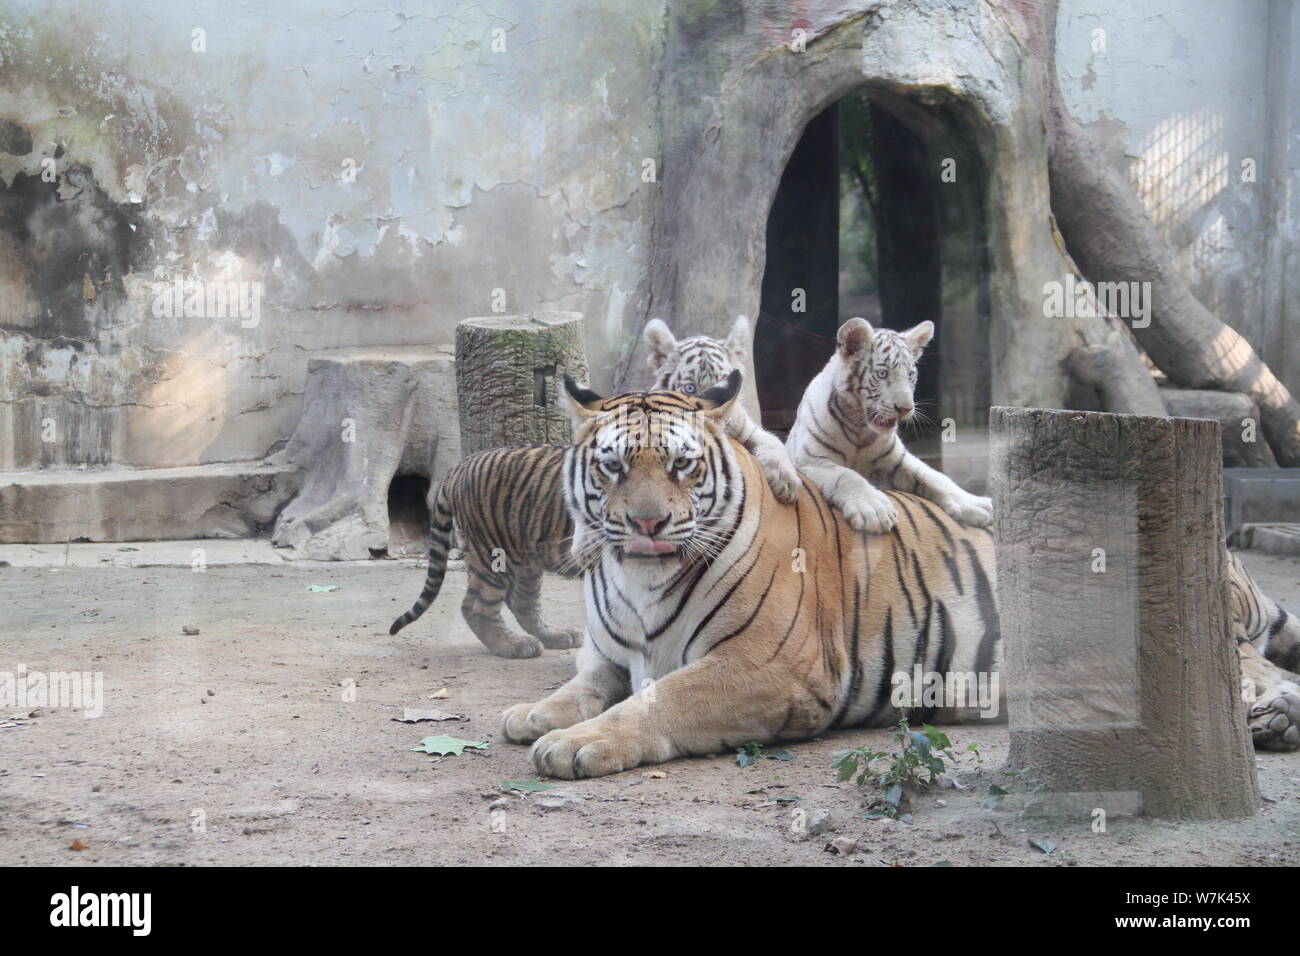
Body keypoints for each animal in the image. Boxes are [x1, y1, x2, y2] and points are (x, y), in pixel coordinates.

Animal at [388, 321, 800, 659]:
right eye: (688, 385)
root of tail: (460, 466)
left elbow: (770, 444)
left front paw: (785, 480)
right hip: (492, 550)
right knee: (477, 606)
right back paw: (515, 646)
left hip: (526, 556)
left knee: (522, 600)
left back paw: (554, 636)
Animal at [499, 371, 1300, 778]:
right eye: (613, 466)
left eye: (683, 466)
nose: (647, 525)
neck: (639, 582)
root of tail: (1229, 558)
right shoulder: (608, 655)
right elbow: (581, 686)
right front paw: (532, 714)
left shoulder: (768, 667)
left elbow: (660, 700)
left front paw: (575, 744)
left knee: (1249, 666)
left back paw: (1273, 718)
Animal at [785, 316, 993, 534]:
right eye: (882, 374)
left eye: (910, 375)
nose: (905, 408)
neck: (860, 429)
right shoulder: (810, 460)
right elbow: (847, 476)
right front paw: (873, 511)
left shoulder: (897, 459)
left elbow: (933, 476)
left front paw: (974, 504)